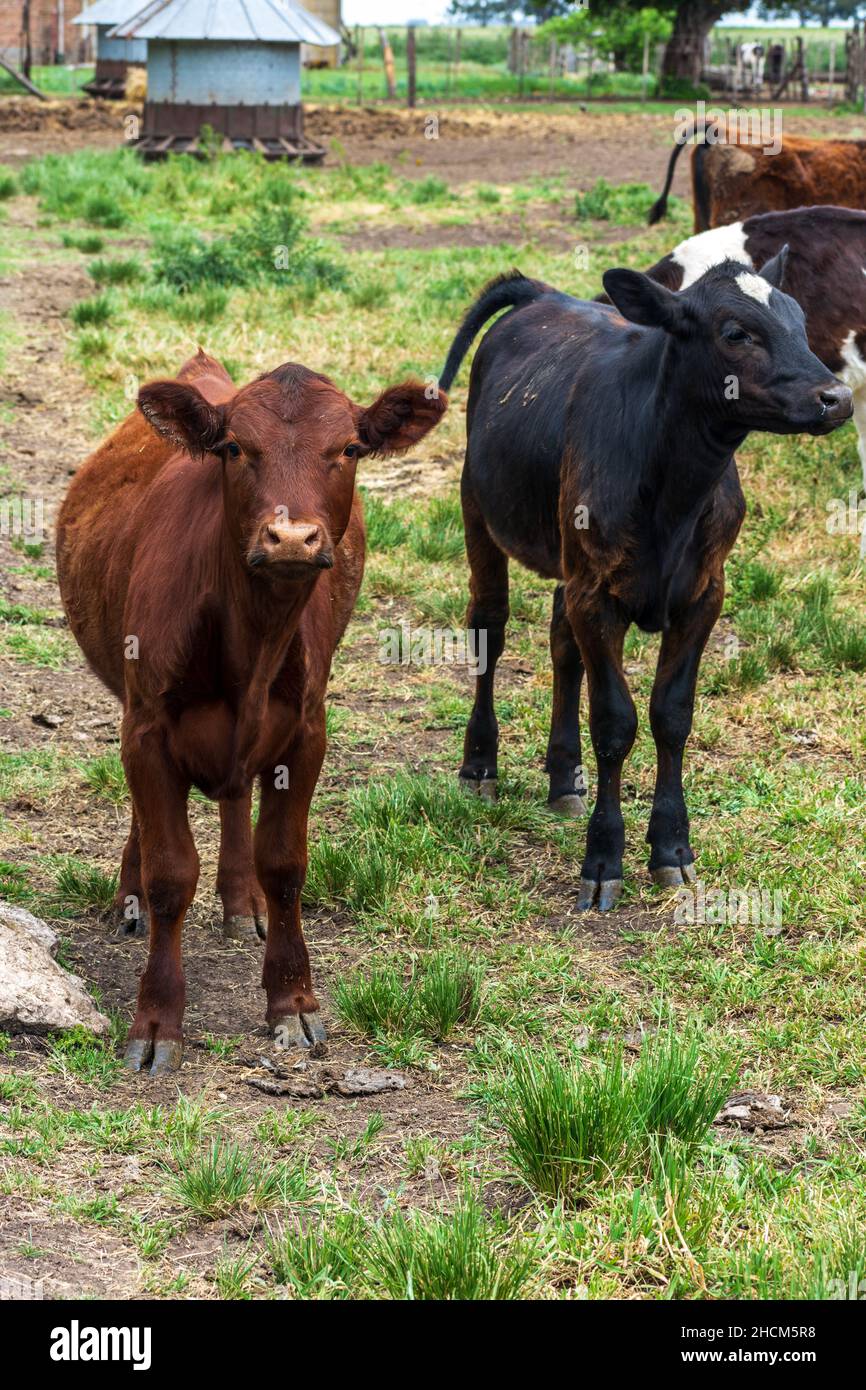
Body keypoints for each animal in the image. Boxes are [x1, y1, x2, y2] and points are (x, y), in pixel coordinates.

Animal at [56, 349, 446, 1075]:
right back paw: (128, 898)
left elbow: (285, 864)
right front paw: (157, 1021)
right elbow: (170, 872)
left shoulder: (307, 733)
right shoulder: (146, 728)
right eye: (235, 448)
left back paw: (243, 901)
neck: (252, 640)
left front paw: (293, 1001)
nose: (292, 537)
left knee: (239, 804)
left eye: (348, 448)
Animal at [438, 261, 851, 911]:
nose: (836, 397)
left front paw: (672, 849)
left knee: (560, 640)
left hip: (570, 559)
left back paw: (564, 775)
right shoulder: (598, 596)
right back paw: (480, 766)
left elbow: (671, 715)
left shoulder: (703, 594)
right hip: (477, 509)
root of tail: (543, 293)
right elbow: (614, 722)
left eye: (799, 319)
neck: (674, 493)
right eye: (736, 333)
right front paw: (603, 859)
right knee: (489, 628)